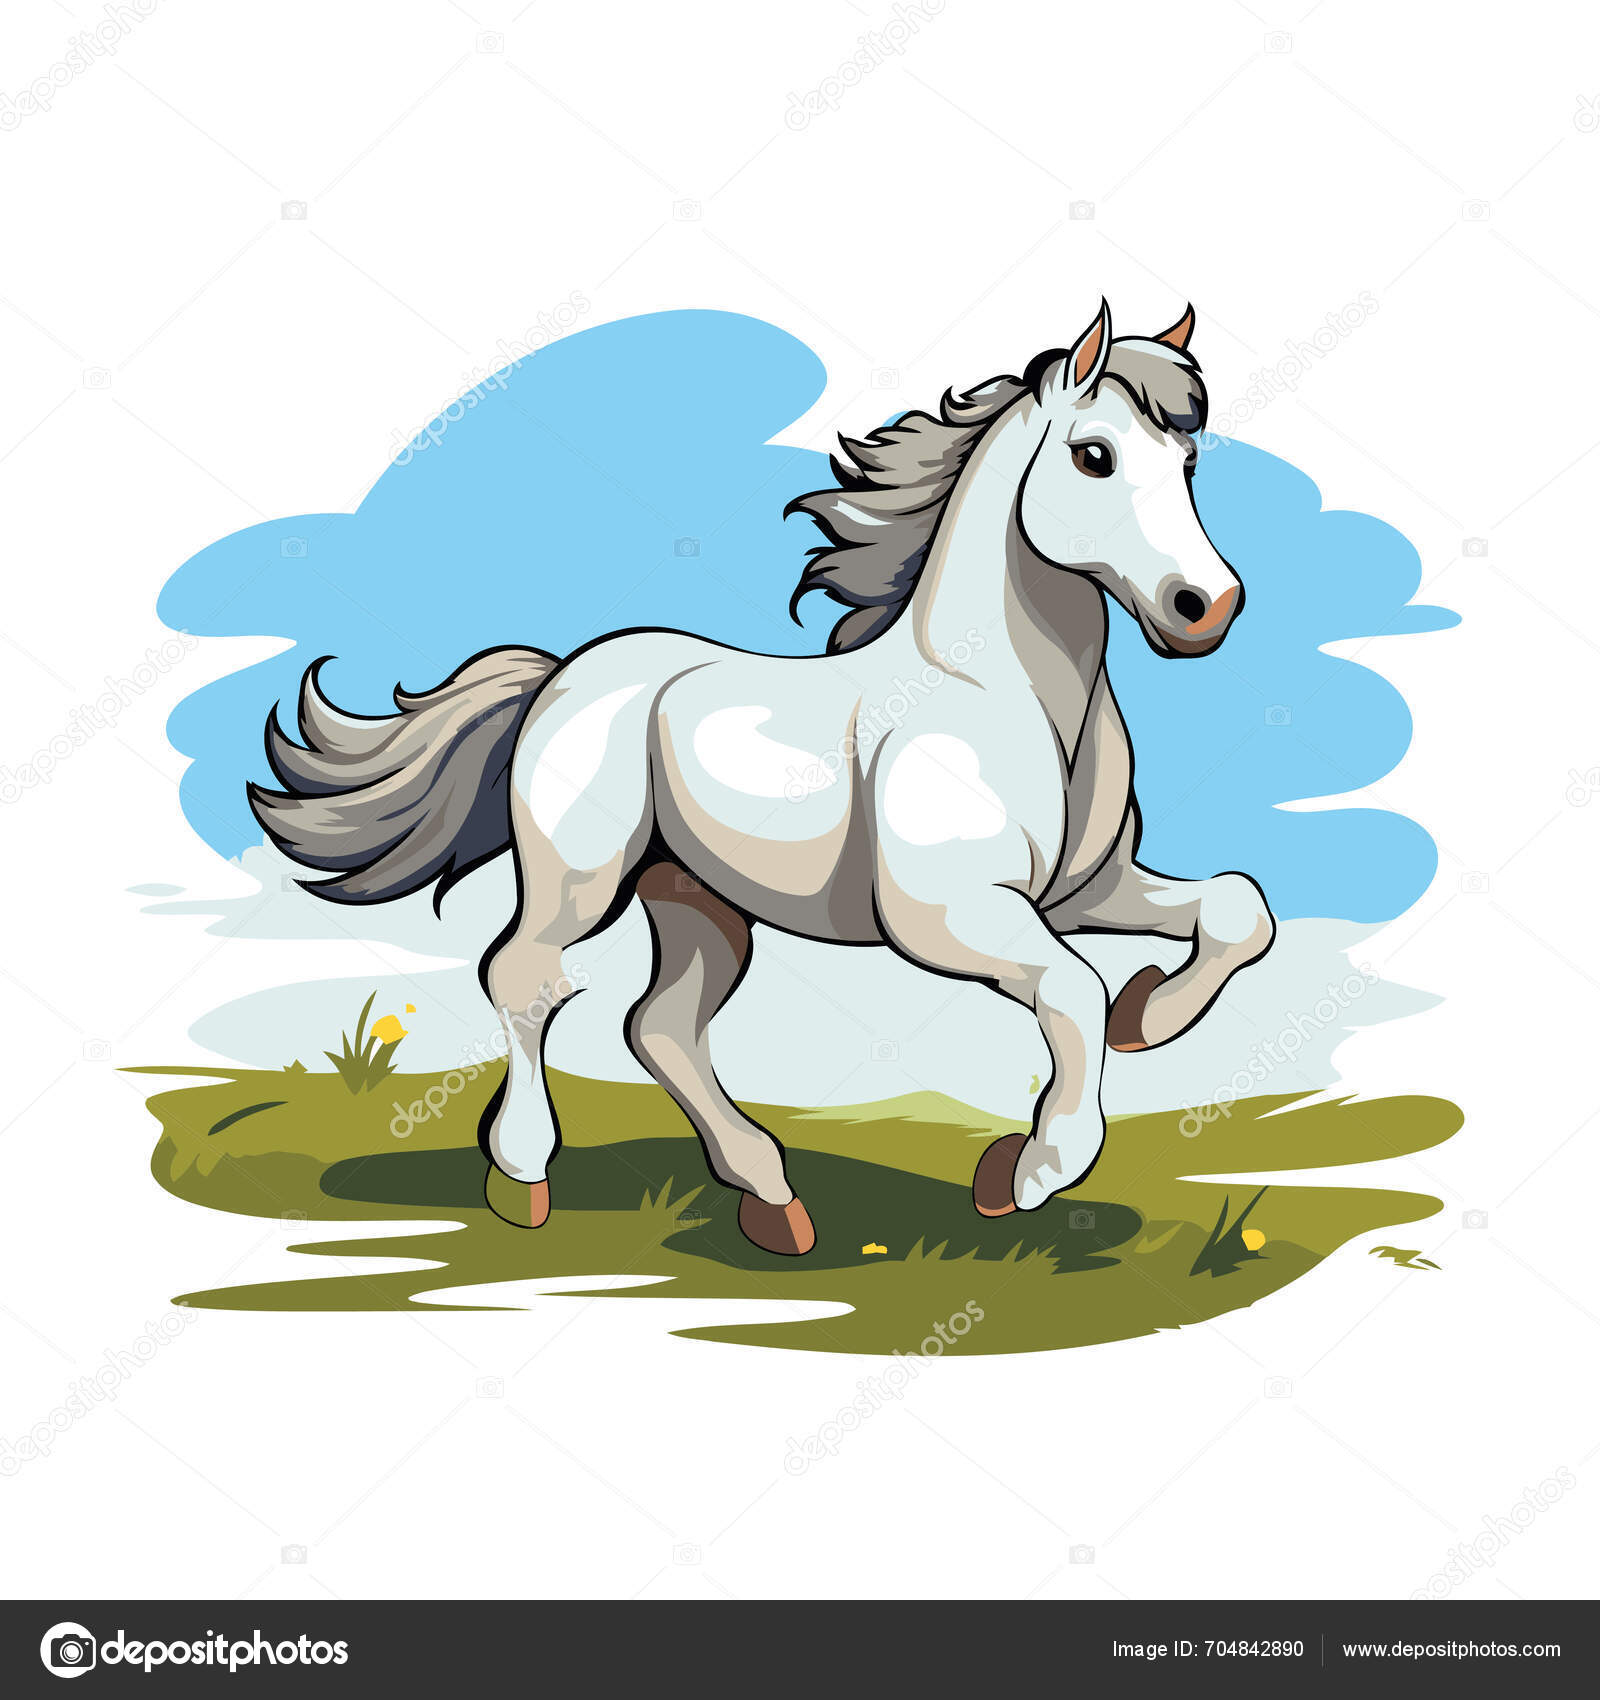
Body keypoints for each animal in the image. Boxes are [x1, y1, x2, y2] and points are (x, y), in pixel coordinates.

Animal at [249, 301, 1275, 1257]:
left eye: (1187, 463)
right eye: (1095, 455)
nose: (1207, 607)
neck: (1001, 696)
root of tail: (563, 674)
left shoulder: (1085, 894)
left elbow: (1238, 909)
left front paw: (1152, 1017)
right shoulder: (953, 919)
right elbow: (1075, 992)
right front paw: (1027, 1174)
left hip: (696, 901)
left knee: (659, 1025)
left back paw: (772, 1201)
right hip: (578, 881)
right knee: (525, 980)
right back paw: (524, 1179)